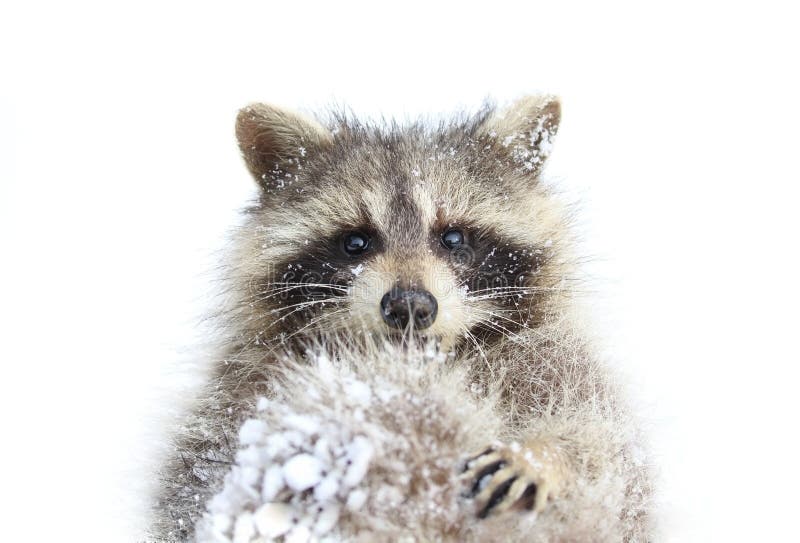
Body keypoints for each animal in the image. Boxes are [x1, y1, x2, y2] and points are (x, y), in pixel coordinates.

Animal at [152, 96, 652, 541]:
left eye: (453, 237)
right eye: (355, 242)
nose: (409, 305)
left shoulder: (557, 359)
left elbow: (611, 448)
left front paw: (545, 453)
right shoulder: (237, 390)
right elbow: (194, 485)